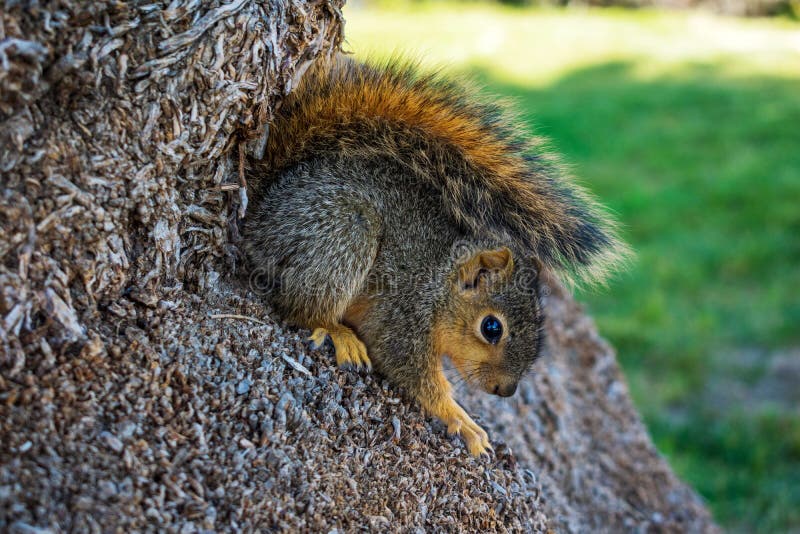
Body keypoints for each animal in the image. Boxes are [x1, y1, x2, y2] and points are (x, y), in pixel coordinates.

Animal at [243, 55, 628, 456]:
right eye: (492, 328)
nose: (505, 391)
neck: (441, 281)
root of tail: (266, 202)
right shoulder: (404, 311)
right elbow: (408, 368)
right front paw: (463, 420)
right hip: (342, 231)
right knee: (299, 308)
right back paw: (338, 332)